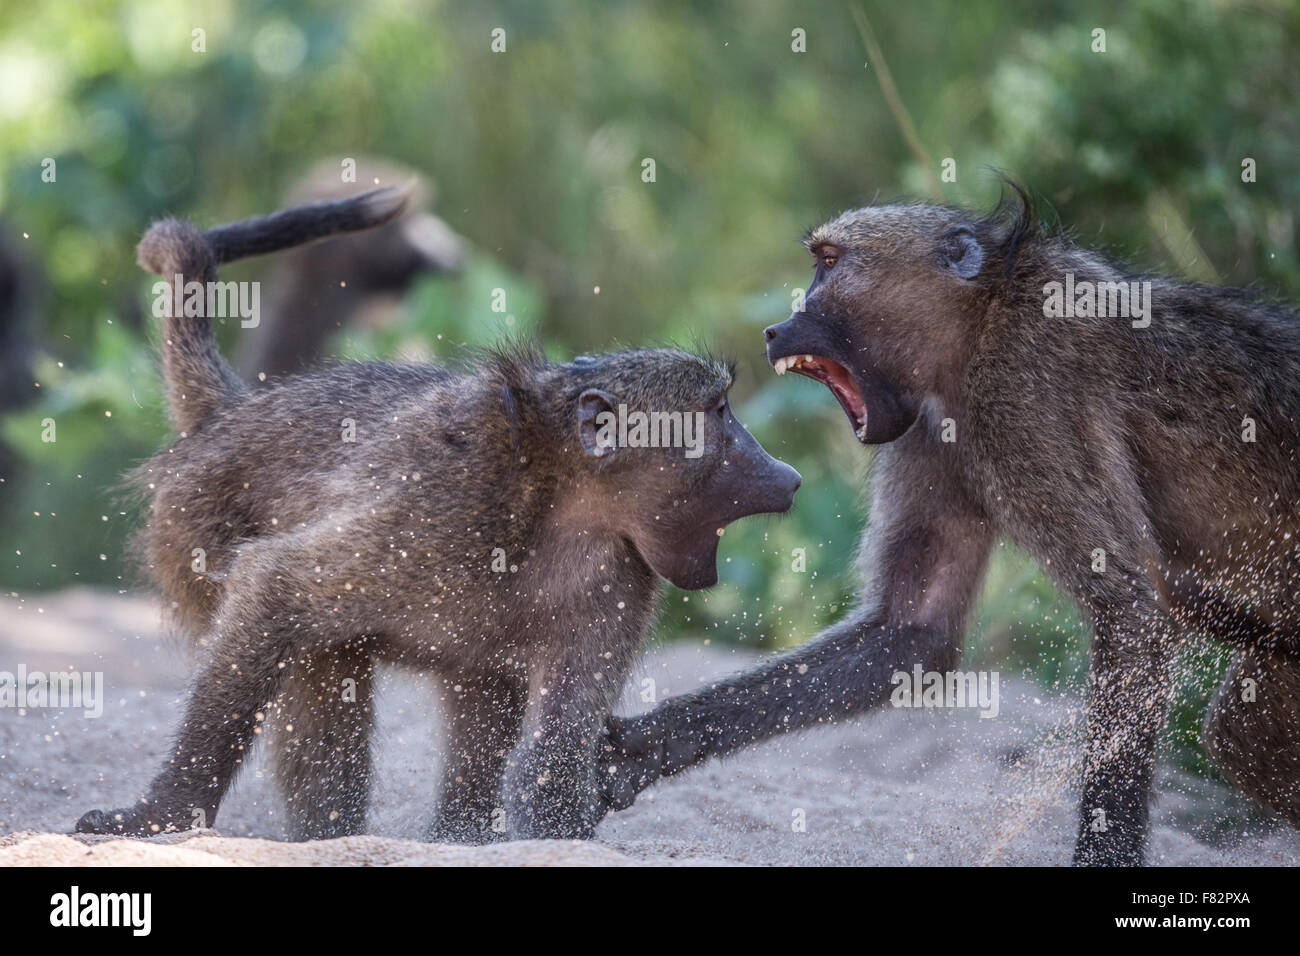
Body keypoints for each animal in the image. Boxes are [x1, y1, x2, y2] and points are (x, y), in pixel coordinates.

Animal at [73, 187, 801, 842]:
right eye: (721, 413)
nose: (788, 476)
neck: (563, 504)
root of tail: (232, 416)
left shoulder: (620, 581)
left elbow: (554, 750)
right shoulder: (433, 515)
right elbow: (272, 586)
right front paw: (162, 815)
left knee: (474, 691)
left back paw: (454, 835)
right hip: (193, 531)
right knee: (314, 659)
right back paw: (330, 836)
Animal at [597, 181, 1300, 865]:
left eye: (830, 263)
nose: (776, 329)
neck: (981, 318)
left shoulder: (1020, 394)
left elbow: (1130, 612)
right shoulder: (930, 430)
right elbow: (913, 632)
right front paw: (632, 754)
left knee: (1231, 739)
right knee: (1241, 743)